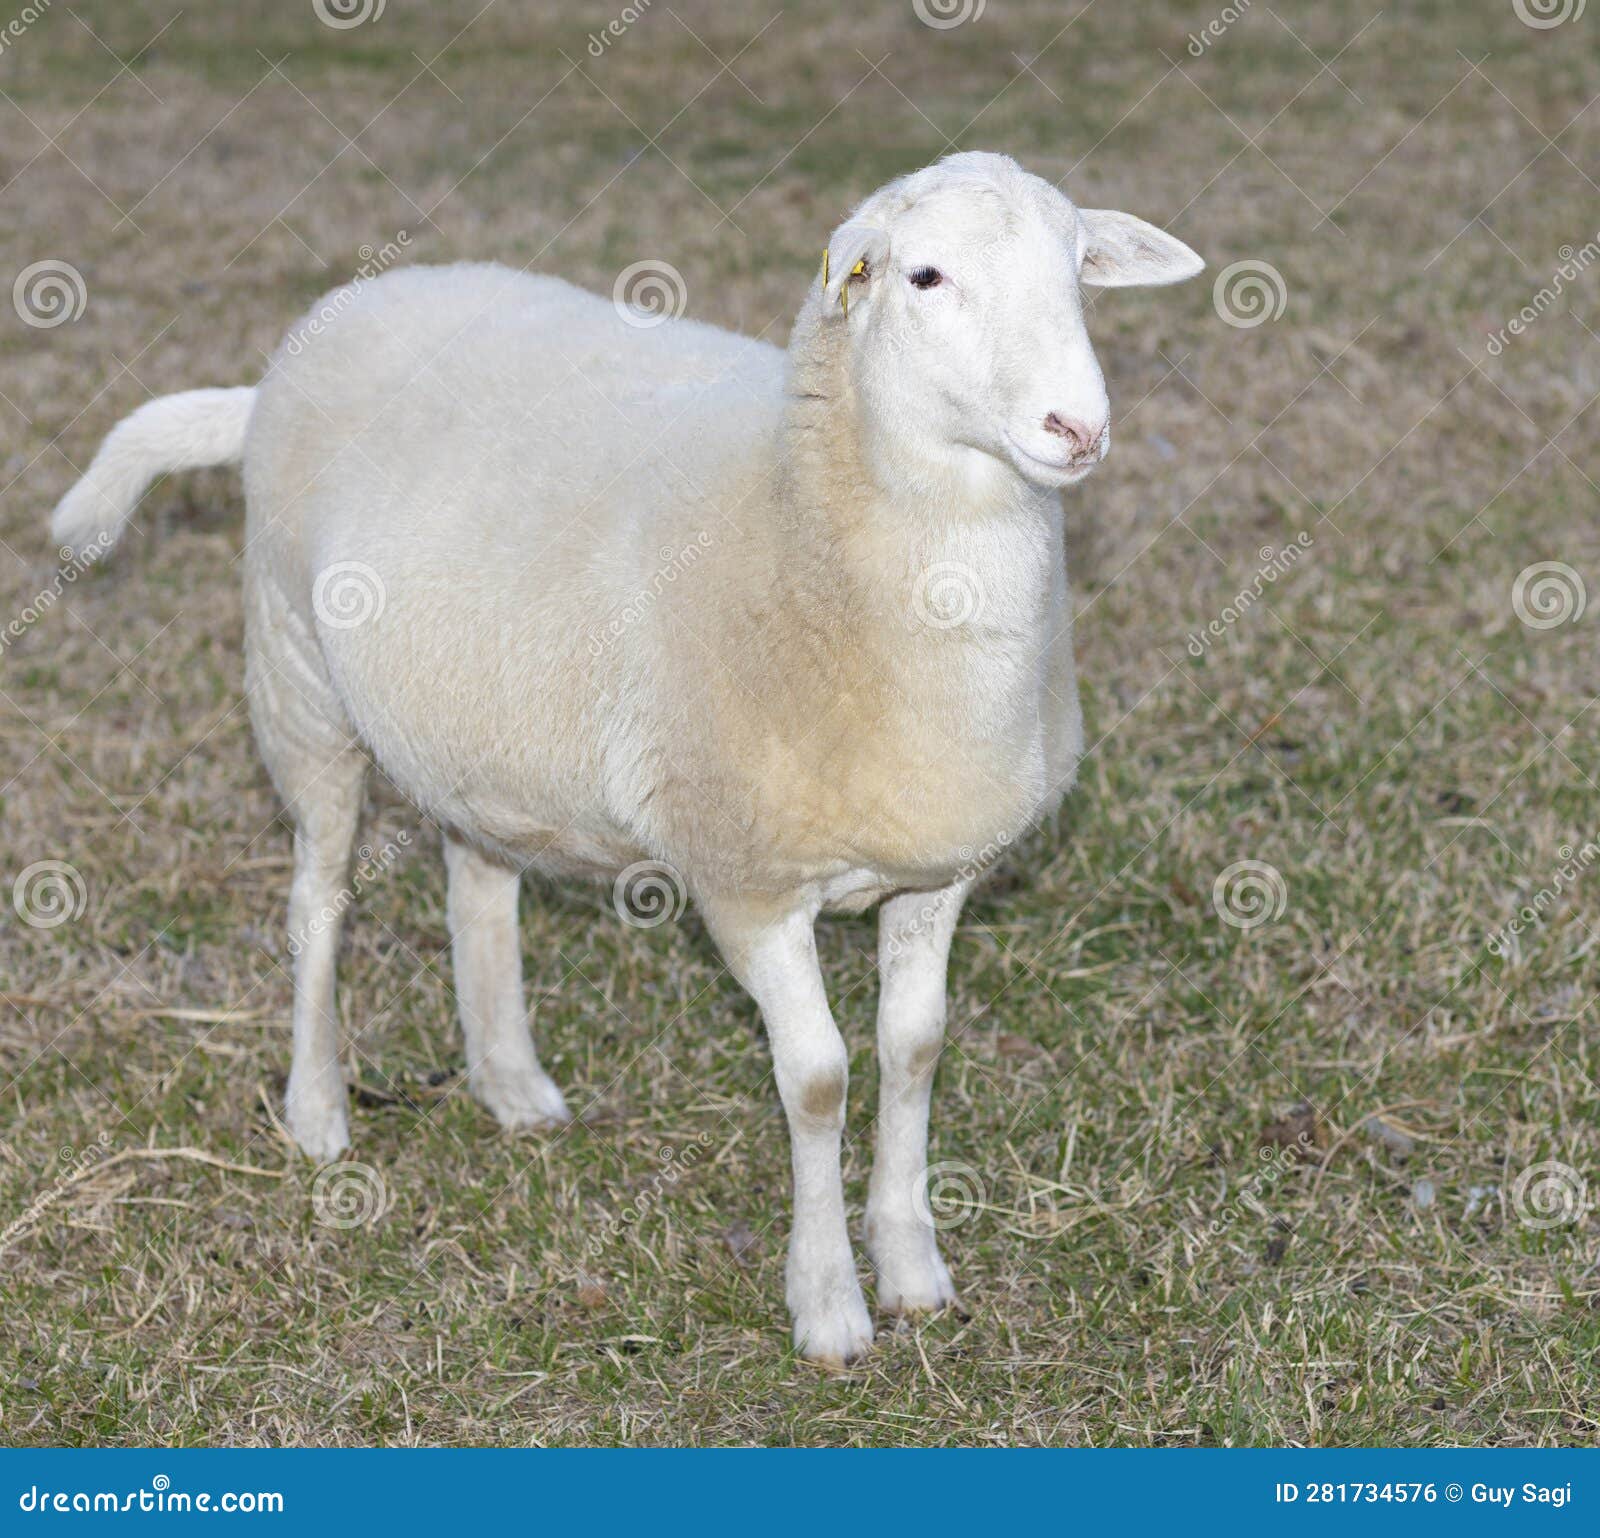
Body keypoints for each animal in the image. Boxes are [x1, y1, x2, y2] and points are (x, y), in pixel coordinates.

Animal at [52, 151, 1202, 1364]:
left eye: (1079, 266)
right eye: (923, 276)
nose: (1078, 427)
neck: (808, 525)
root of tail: (304, 343)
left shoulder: (937, 870)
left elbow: (915, 1050)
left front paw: (913, 1267)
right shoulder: (745, 882)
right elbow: (818, 1080)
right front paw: (828, 1304)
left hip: (478, 728)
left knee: (477, 885)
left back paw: (510, 1081)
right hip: (297, 682)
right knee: (316, 897)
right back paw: (317, 1108)